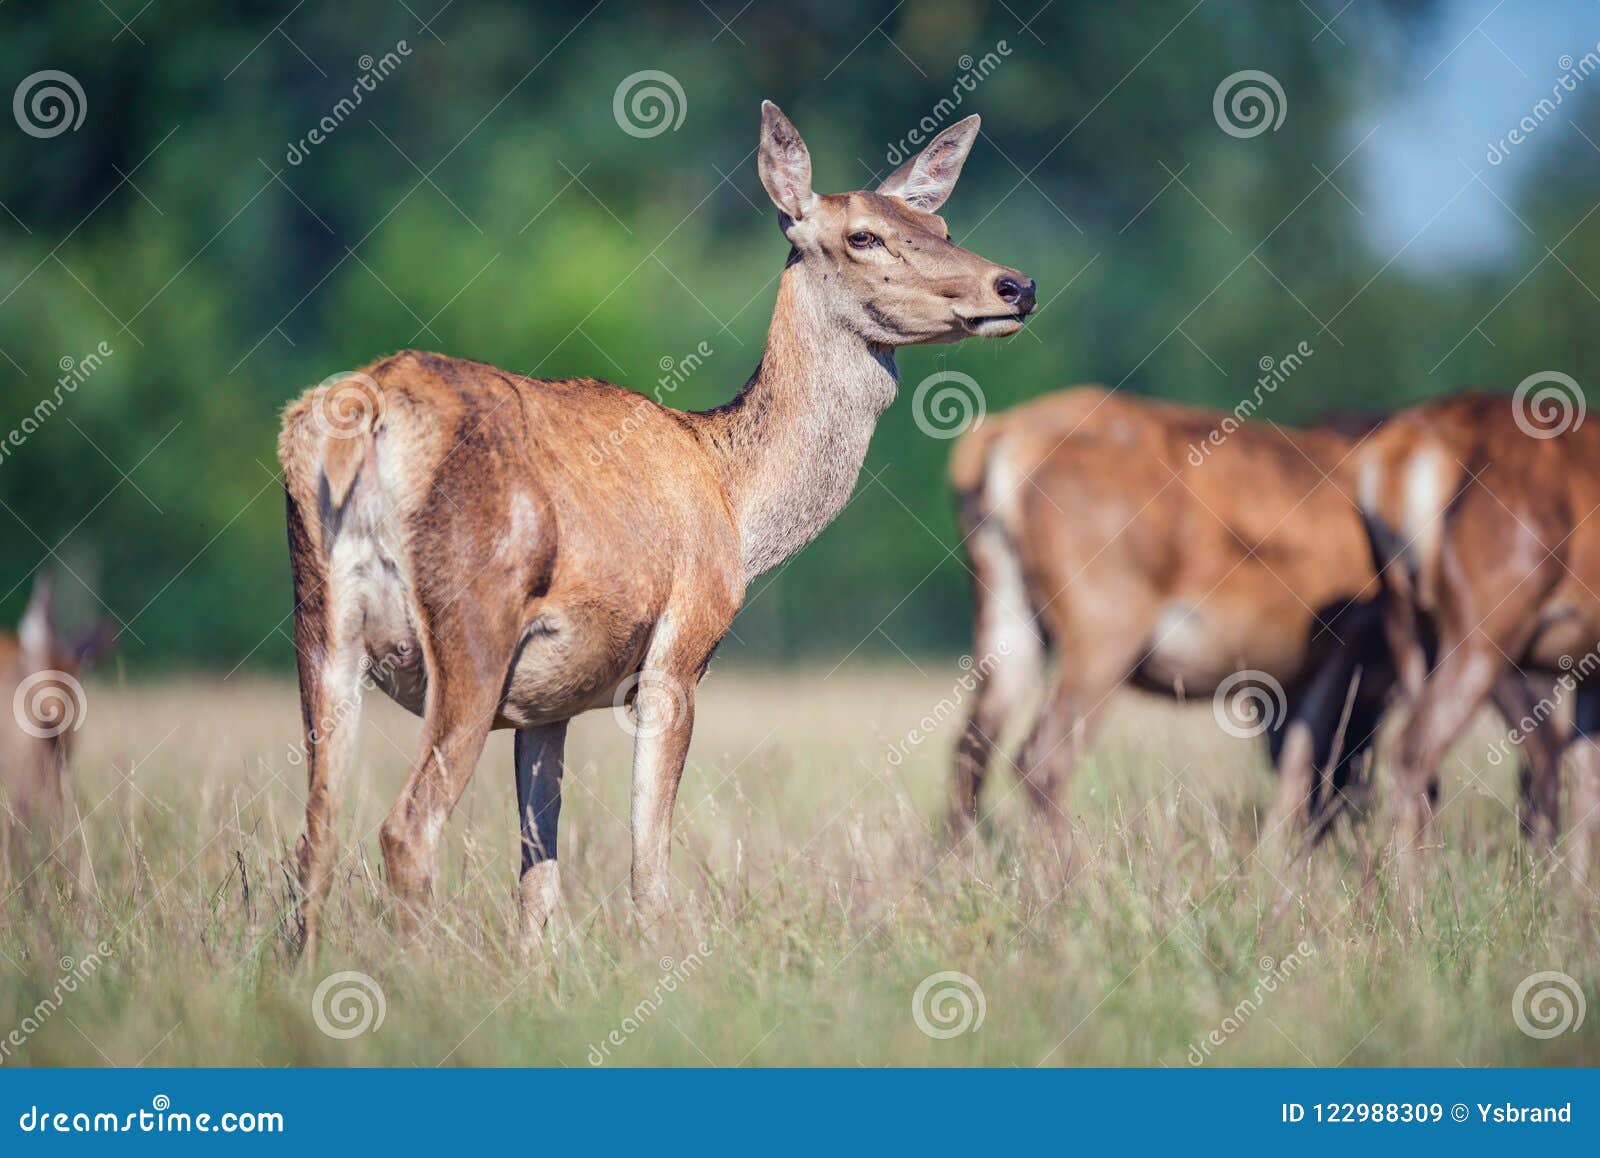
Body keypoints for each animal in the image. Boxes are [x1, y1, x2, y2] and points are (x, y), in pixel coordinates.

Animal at [278, 102, 1037, 958]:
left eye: (939, 221)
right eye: (863, 235)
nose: (1015, 285)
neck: (733, 497)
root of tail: (354, 418)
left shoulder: (545, 704)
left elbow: (538, 879)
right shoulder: (681, 649)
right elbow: (649, 865)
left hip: (319, 625)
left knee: (313, 839)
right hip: (471, 622)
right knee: (405, 829)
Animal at [947, 387, 1558, 874]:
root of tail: (998, 440)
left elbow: (1306, 779)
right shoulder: (1356, 657)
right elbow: (1333, 782)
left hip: (1008, 621)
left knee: (969, 751)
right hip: (1104, 629)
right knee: (1041, 760)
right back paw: (1072, 884)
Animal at [1359, 389, 1600, 907]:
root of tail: (1401, 457)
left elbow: (1585, 778)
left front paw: (1573, 907)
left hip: (1404, 618)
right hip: (1486, 622)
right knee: (1413, 749)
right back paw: (1413, 909)